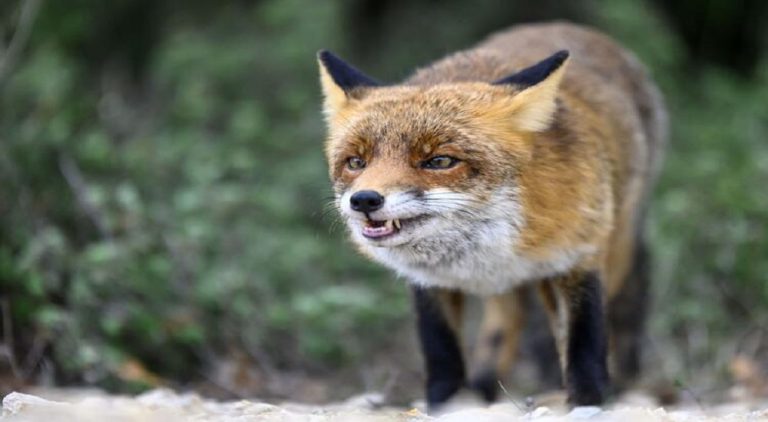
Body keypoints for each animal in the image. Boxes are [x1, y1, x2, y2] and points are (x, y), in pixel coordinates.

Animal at [318, 22, 667, 409]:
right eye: (356, 162)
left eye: (439, 161)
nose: (364, 200)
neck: (488, 251)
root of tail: (566, 25)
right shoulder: (429, 281)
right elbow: (441, 351)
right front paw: (445, 404)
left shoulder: (579, 257)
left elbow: (582, 343)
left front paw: (589, 400)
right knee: (505, 323)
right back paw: (486, 386)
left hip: (618, 246)